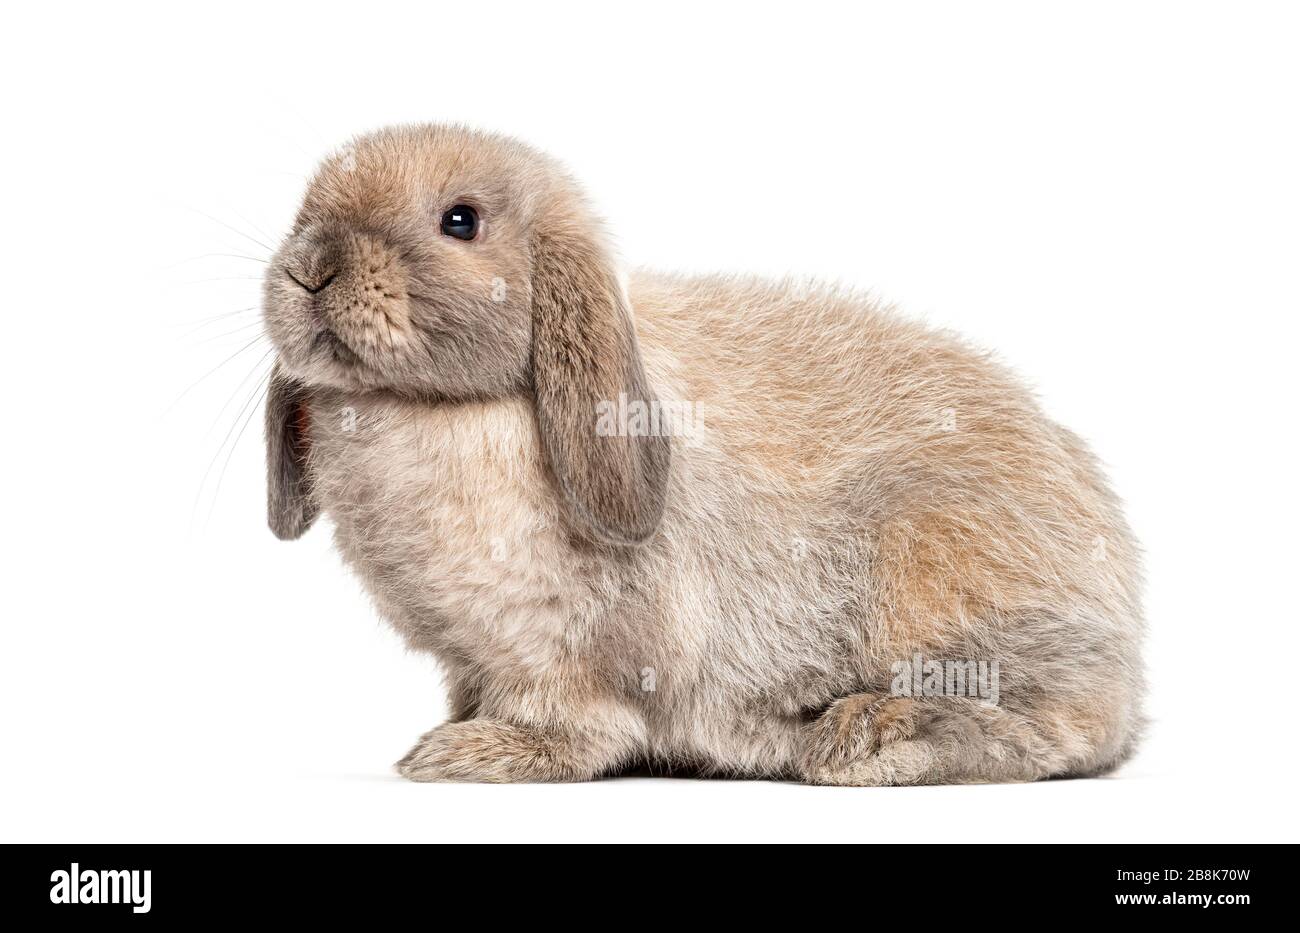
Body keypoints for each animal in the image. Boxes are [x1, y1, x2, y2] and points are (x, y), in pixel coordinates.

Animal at [262, 124, 1144, 785]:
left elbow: (574, 720)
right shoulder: (473, 658)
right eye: (305, 207)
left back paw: (868, 736)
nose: (310, 268)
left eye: (460, 220)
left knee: (1067, 731)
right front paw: (456, 731)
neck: (433, 407)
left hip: (934, 577)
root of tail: (1125, 623)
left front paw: (474, 751)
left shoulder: (564, 650)